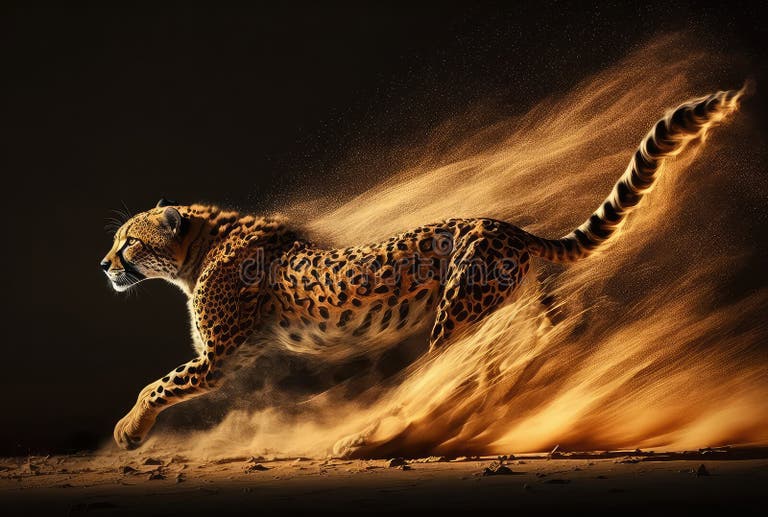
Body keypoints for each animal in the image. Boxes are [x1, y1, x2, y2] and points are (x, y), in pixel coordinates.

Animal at [101, 88, 744, 450]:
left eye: (128, 242)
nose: (104, 265)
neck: (197, 248)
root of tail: (508, 227)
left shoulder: (217, 359)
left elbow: (158, 384)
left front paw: (128, 432)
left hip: (455, 316)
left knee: (451, 378)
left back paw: (375, 438)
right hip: (513, 312)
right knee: (536, 349)